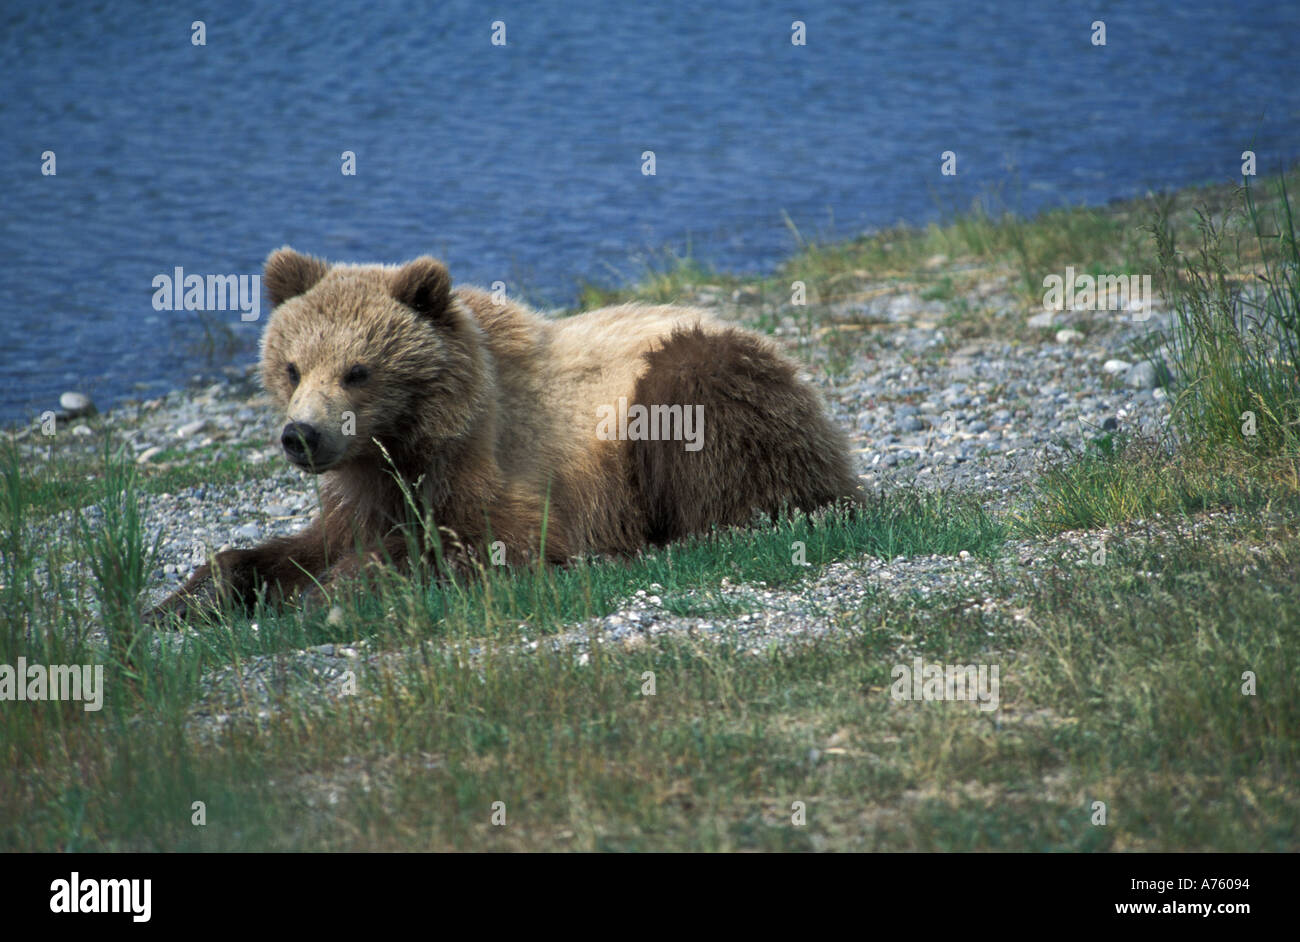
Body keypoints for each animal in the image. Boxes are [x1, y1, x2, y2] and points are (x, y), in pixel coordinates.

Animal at [151, 247, 862, 621]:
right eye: (292, 366)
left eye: (358, 370)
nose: (302, 434)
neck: (411, 441)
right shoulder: (367, 486)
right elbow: (306, 543)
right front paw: (187, 600)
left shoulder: (519, 473)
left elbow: (491, 540)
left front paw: (336, 590)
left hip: (684, 384)